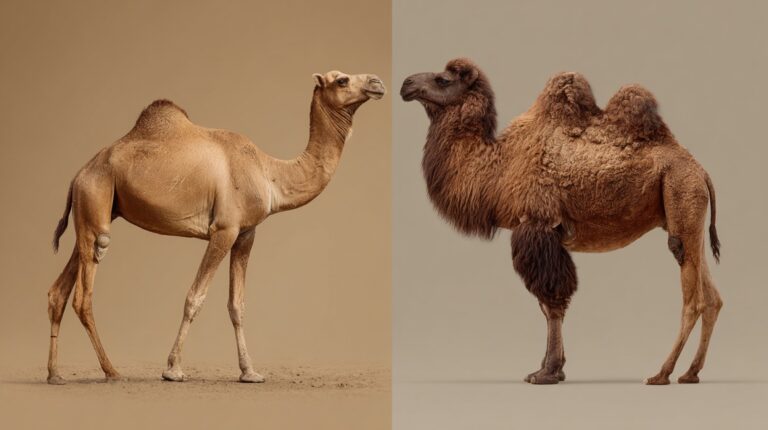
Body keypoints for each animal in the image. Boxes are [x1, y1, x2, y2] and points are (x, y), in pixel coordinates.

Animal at [46, 70, 385, 385]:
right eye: (341, 80)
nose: (378, 82)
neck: (270, 174)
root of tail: (78, 176)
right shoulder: (224, 230)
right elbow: (194, 298)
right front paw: (173, 369)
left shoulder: (246, 233)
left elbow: (237, 304)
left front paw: (249, 372)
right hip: (96, 201)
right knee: (84, 293)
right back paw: (112, 371)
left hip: (91, 213)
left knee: (58, 291)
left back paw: (55, 374)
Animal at [400, 58, 721, 385]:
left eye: (442, 80)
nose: (405, 84)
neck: (499, 169)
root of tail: (700, 171)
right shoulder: (545, 235)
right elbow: (547, 305)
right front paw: (551, 367)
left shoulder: (537, 225)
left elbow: (551, 301)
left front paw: (547, 371)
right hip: (688, 218)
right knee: (713, 298)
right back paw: (690, 373)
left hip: (682, 198)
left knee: (693, 299)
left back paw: (660, 374)